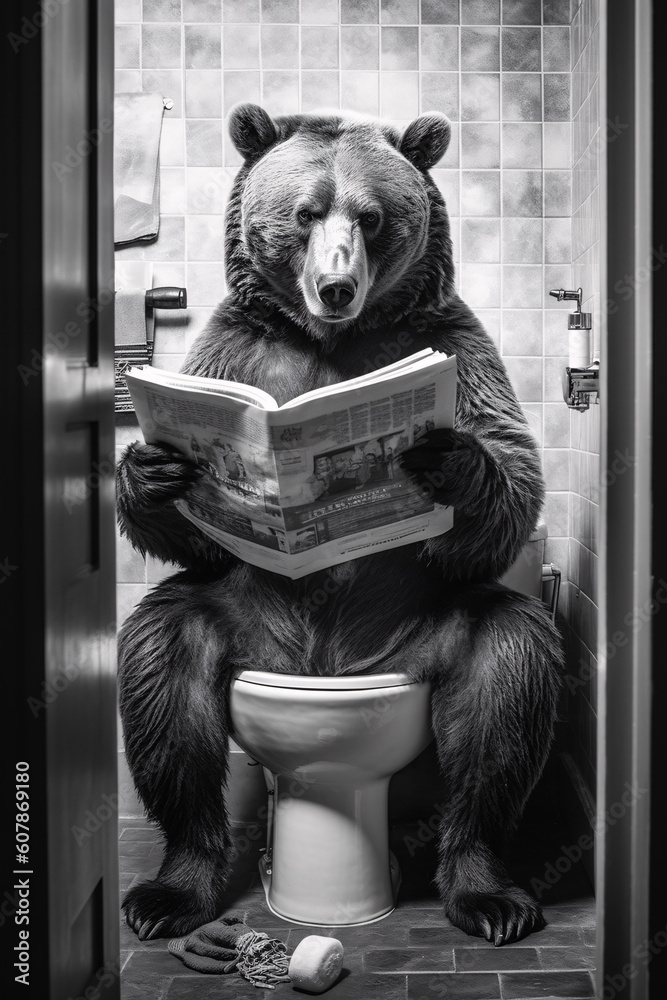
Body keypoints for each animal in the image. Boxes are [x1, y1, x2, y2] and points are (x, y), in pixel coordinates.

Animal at [117, 103, 563, 947]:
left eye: (372, 216)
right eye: (303, 212)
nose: (335, 285)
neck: (330, 342)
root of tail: (328, 672)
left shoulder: (449, 343)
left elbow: (510, 471)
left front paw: (444, 458)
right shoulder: (234, 355)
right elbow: (190, 539)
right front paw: (153, 469)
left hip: (421, 633)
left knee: (505, 675)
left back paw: (487, 893)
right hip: (246, 625)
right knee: (165, 672)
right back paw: (169, 889)